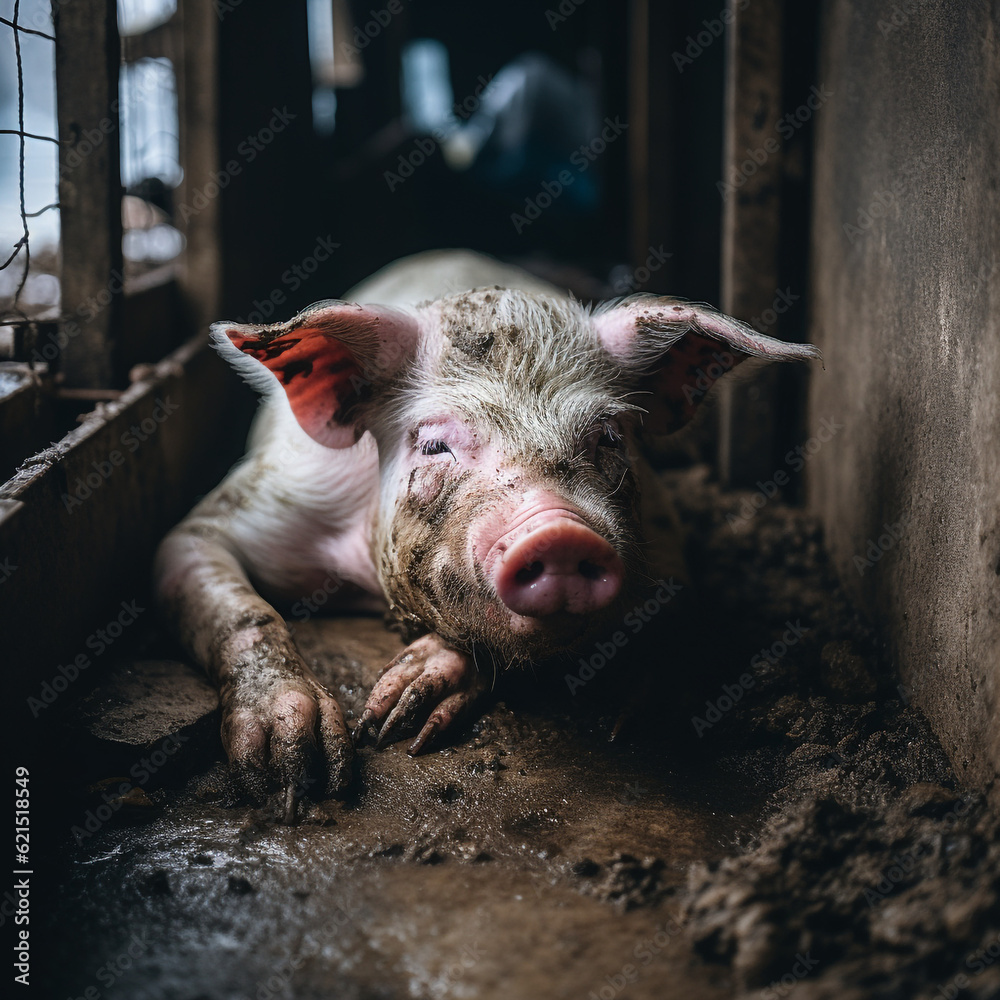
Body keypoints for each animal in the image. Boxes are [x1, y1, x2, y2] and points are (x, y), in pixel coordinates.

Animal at [154, 249, 819, 817]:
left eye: (608, 438)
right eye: (435, 445)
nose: (559, 534)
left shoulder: (665, 541)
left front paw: (402, 714)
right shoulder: (247, 508)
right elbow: (238, 606)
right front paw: (291, 781)